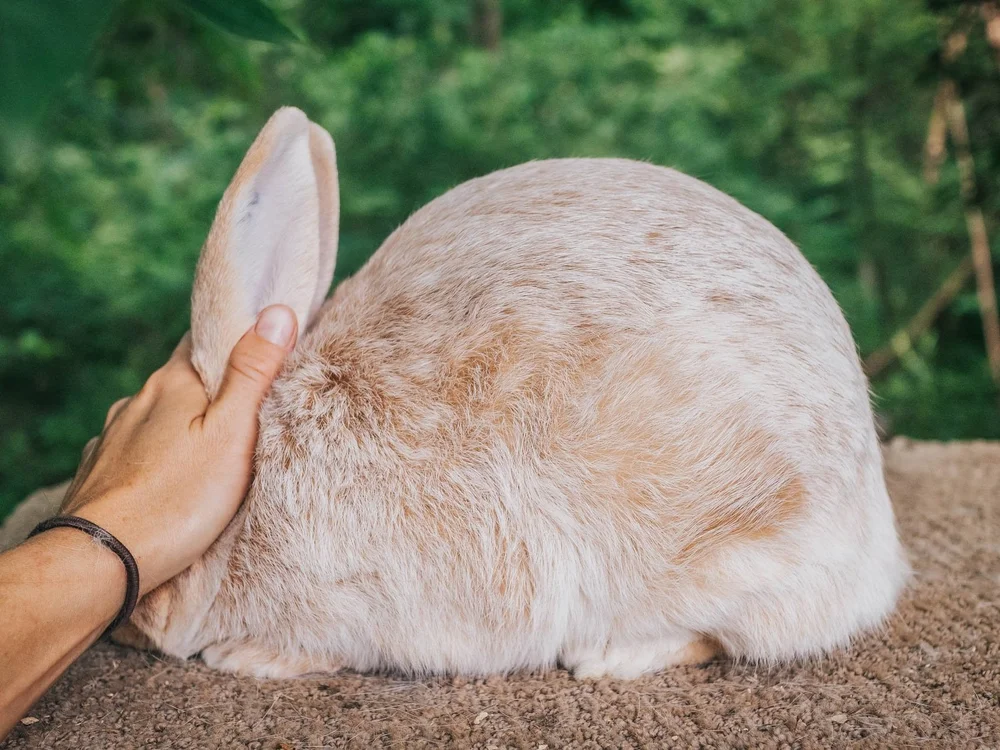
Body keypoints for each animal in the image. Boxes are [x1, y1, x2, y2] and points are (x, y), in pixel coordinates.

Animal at [5, 107, 909, 679]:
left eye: (94, 447)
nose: (135, 625)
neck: (254, 489)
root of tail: (876, 537)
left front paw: (249, 659)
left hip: (741, 553)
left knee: (735, 636)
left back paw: (612, 659)